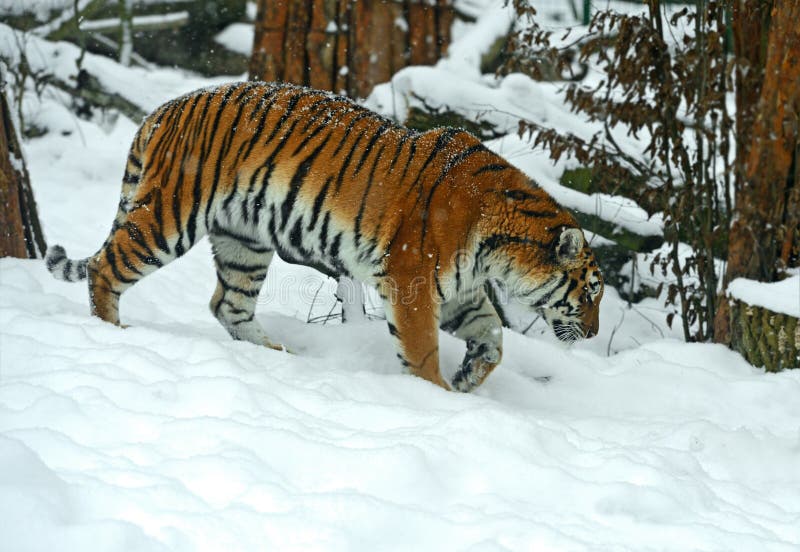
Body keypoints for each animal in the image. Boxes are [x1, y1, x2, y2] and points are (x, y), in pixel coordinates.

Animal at [45, 81, 604, 392]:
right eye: (592, 292)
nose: (596, 334)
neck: (497, 249)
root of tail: (164, 108)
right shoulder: (413, 281)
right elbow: (422, 351)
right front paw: (437, 395)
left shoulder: (460, 291)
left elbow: (494, 338)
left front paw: (469, 378)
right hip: (170, 216)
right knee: (106, 268)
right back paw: (113, 333)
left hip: (244, 241)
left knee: (228, 304)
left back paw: (277, 356)